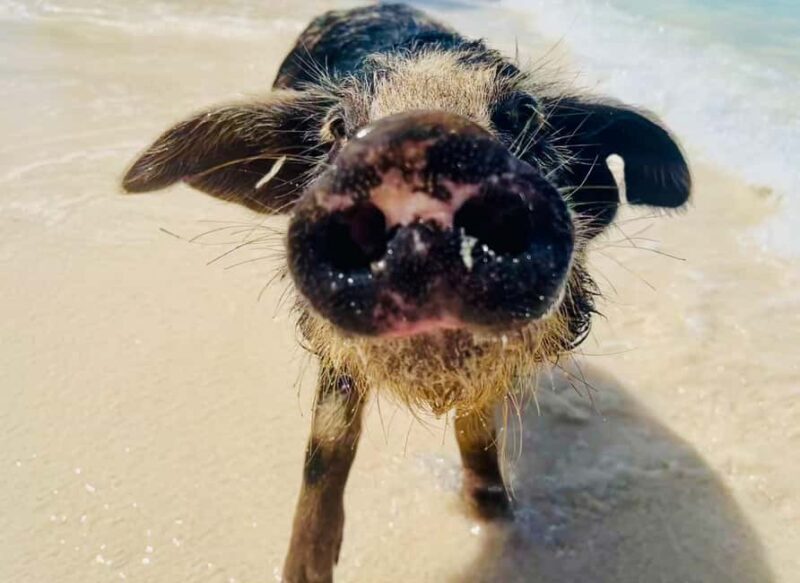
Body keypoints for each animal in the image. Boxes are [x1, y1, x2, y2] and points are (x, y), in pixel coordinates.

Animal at [121, 4, 691, 582]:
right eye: (337, 127)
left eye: (525, 113)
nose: (420, 139)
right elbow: (326, 445)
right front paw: (302, 571)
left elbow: (477, 431)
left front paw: (500, 516)